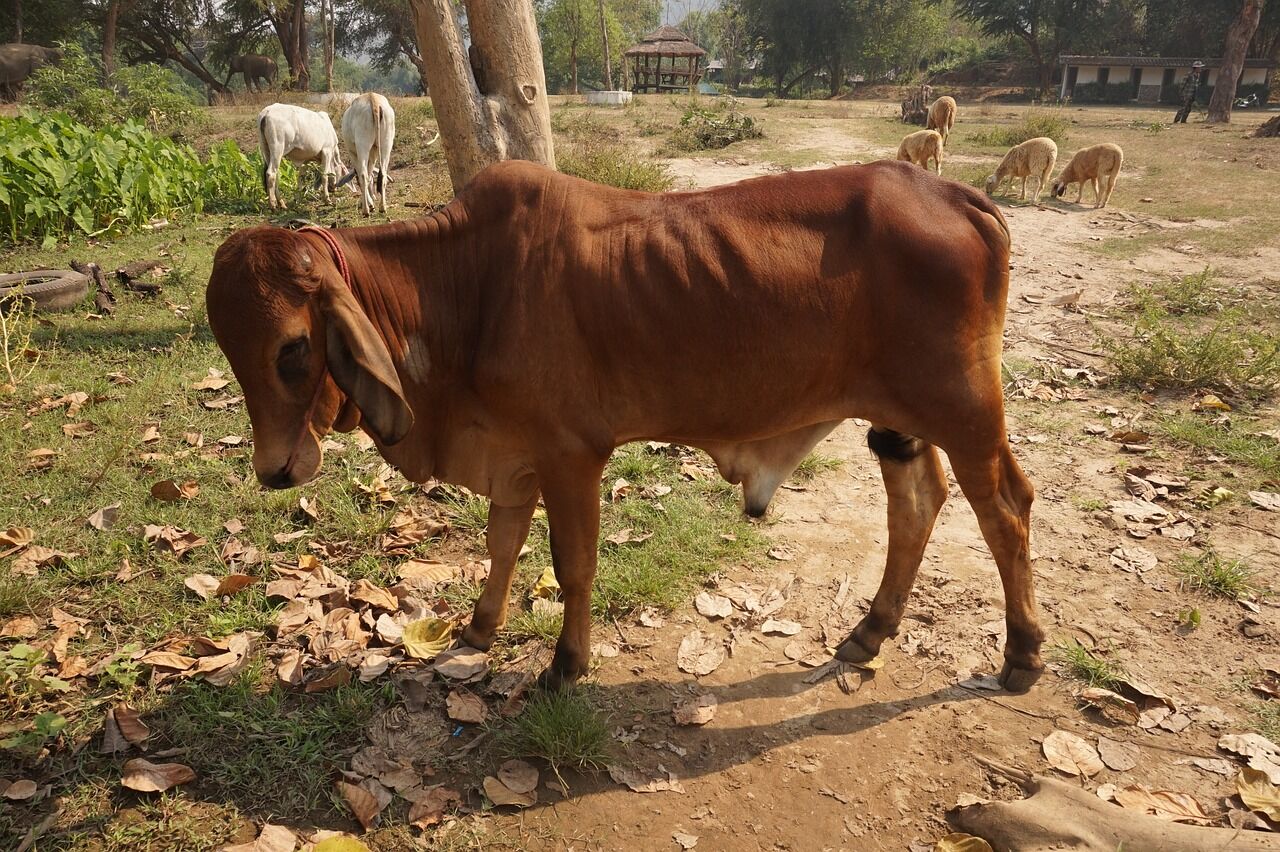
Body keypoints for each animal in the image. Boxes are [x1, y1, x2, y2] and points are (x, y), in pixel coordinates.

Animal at [205, 159, 1045, 693]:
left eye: (292, 349)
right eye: (228, 347)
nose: (276, 469)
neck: (464, 286)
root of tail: (958, 195)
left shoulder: (571, 454)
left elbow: (572, 565)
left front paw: (564, 665)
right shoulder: (515, 452)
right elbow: (502, 544)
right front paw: (478, 629)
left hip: (966, 409)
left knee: (1005, 509)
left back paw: (1023, 654)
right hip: (900, 418)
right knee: (919, 501)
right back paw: (872, 629)